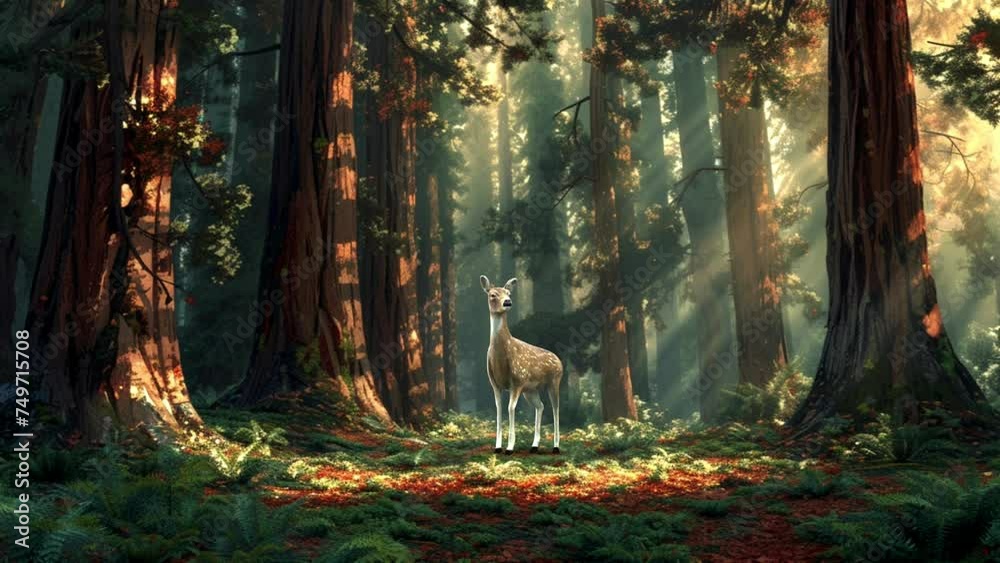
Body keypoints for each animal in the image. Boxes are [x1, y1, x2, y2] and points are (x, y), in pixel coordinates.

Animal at [481, 275, 563, 454]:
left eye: (508, 293)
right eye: (492, 295)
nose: (507, 302)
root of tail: (559, 360)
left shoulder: (517, 380)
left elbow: (510, 408)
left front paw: (510, 448)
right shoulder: (494, 383)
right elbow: (499, 409)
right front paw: (497, 447)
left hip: (554, 381)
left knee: (556, 408)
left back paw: (555, 447)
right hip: (531, 390)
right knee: (541, 406)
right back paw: (534, 446)